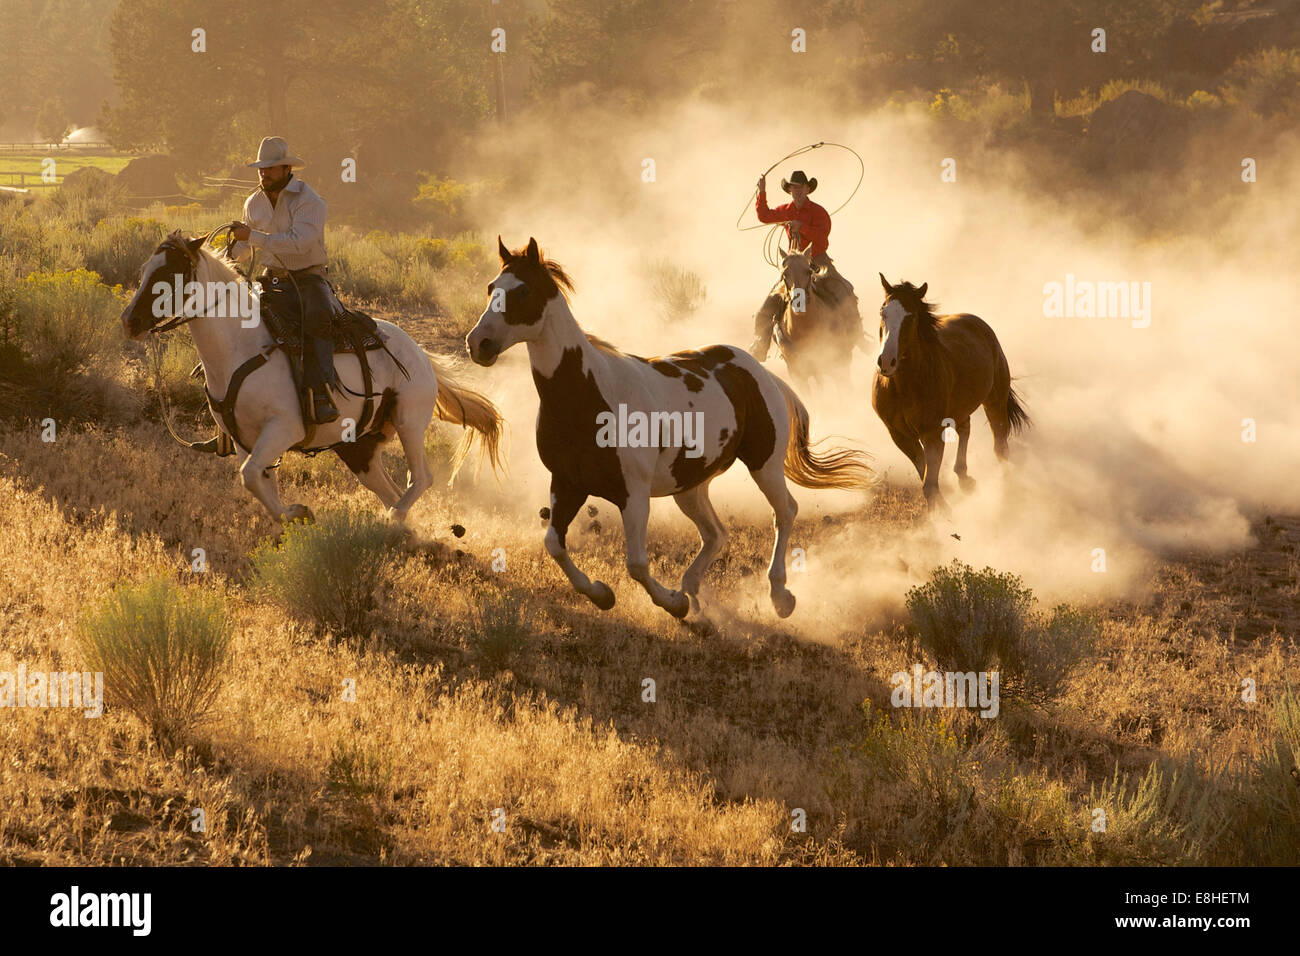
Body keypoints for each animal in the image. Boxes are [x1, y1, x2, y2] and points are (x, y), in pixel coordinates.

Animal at [122, 234, 504, 530]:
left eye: (170, 274)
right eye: (143, 272)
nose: (129, 321)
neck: (241, 348)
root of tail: (420, 353)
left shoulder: (283, 428)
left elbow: (250, 476)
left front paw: (297, 514)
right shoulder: (246, 439)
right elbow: (258, 481)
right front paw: (295, 515)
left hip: (408, 421)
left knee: (420, 478)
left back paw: (393, 519)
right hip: (358, 447)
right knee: (390, 489)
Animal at [467, 235, 873, 616]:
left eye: (523, 290)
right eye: (491, 287)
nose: (478, 344)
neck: (587, 394)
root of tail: (760, 373)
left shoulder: (633, 495)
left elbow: (636, 565)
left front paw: (672, 604)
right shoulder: (567, 483)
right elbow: (554, 544)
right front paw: (603, 594)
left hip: (764, 464)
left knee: (784, 512)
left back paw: (779, 596)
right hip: (690, 486)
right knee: (715, 534)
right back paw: (693, 590)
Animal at [868, 274, 1029, 512]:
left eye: (911, 316)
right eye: (883, 312)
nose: (886, 362)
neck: (904, 386)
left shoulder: (932, 433)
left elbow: (929, 484)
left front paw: (943, 514)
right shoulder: (899, 435)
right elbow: (925, 474)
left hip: (995, 402)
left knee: (1000, 447)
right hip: (961, 409)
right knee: (965, 429)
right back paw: (964, 478)